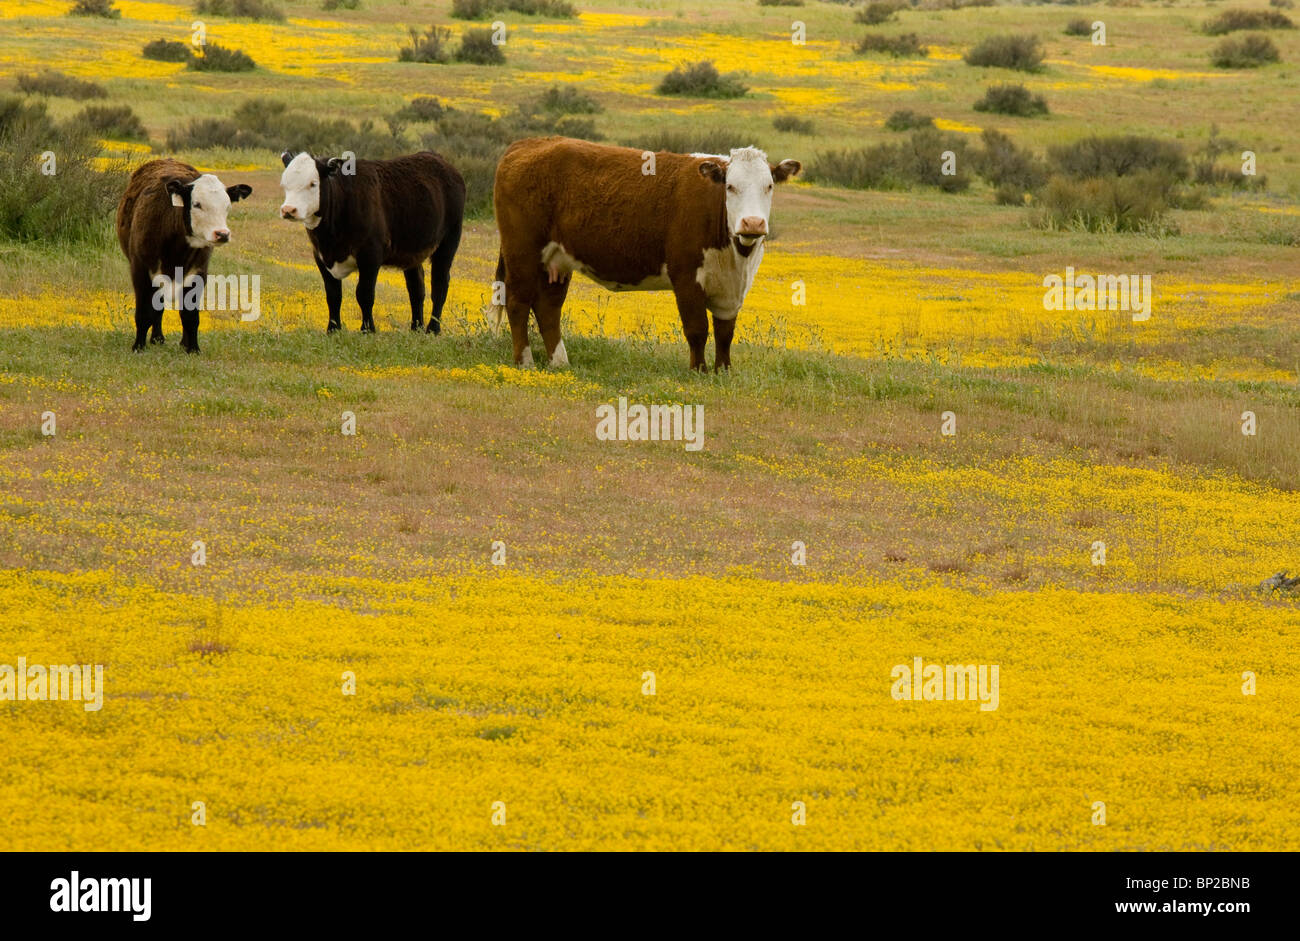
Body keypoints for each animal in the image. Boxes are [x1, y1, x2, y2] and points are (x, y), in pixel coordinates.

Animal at [116, 159, 252, 353]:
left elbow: (190, 315)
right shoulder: (140, 270)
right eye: (197, 204)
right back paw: (157, 338)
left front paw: (193, 348)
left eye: (227, 206)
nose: (222, 234)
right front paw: (138, 347)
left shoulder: (198, 273)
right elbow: (144, 313)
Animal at [278, 150, 466, 335]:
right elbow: (333, 295)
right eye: (285, 184)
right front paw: (333, 329)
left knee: (440, 284)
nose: (288, 210)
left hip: (449, 240)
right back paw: (416, 328)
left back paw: (433, 329)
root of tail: (439, 159)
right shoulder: (320, 256)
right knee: (416, 287)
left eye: (313, 184)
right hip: (412, 252)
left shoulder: (370, 255)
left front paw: (368, 329)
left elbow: (364, 293)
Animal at [487, 137, 801, 371]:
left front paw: (723, 371)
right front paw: (698, 371)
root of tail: (528, 143)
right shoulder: (686, 276)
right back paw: (525, 361)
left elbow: (725, 333)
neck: (735, 258)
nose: (753, 223)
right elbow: (697, 328)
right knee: (517, 302)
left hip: (556, 261)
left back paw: (560, 362)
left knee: (548, 307)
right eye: (730, 186)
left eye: (769, 186)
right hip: (522, 252)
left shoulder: (732, 288)